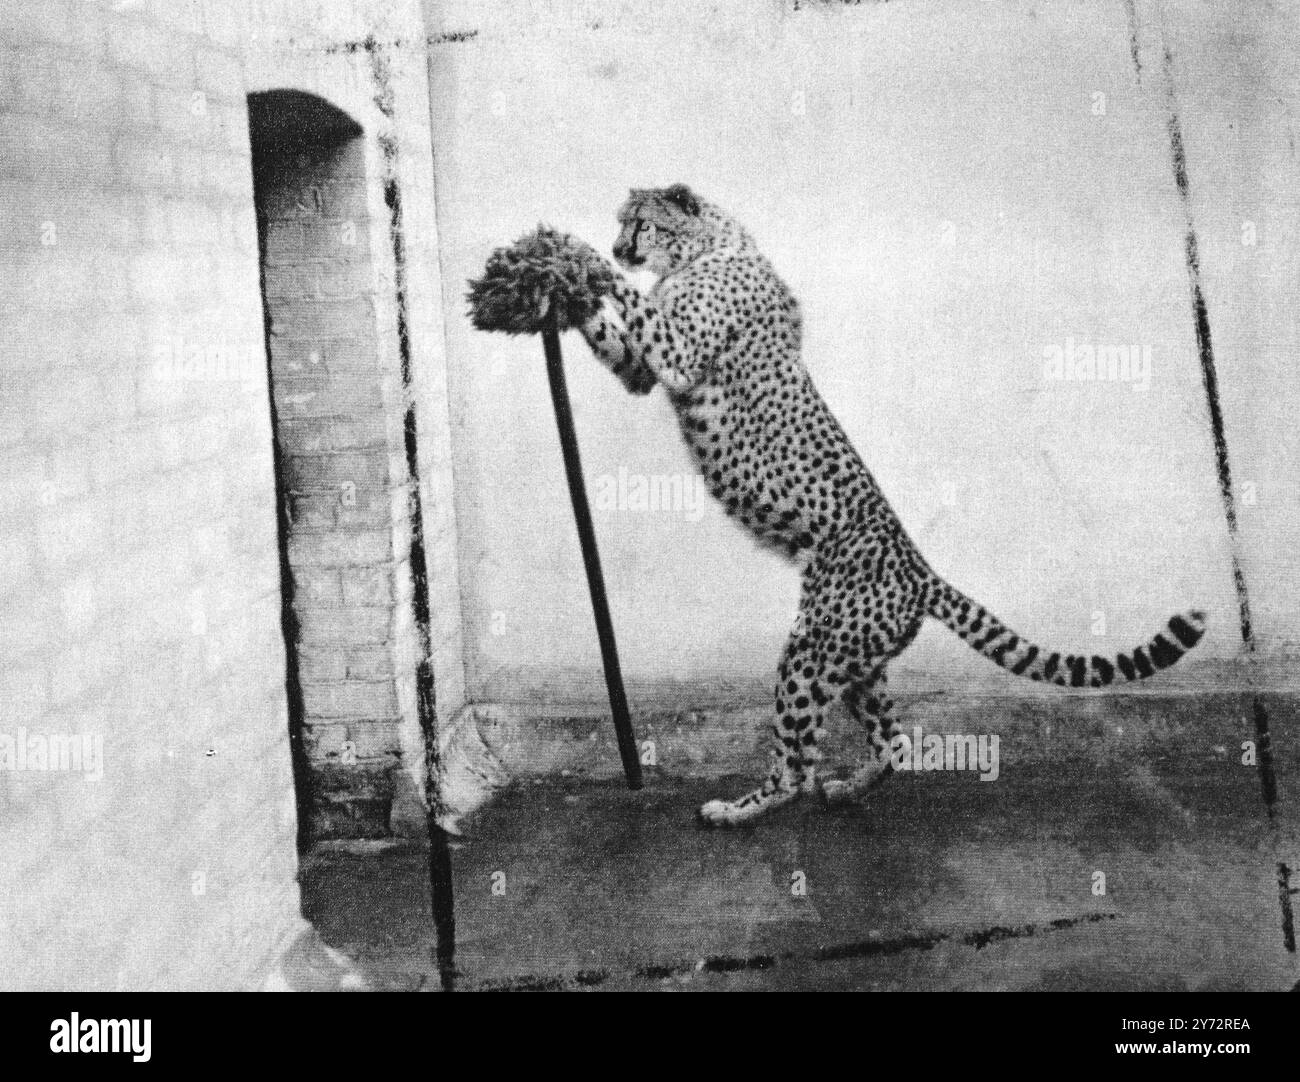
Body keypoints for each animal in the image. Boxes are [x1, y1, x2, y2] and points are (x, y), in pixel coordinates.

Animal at [577, 183, 1207, 827]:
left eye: (642, 224)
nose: (619, 245)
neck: (707, 250)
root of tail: (920, 567)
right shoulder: (645, 365)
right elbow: (615, 336)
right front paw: (569, 286)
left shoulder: (677, 352)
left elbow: (634, 300)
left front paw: (577, 256)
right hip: (855, 658)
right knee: (893, 739)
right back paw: (850, 787)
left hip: (810, 652)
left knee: (797, 765)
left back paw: (740, 809)